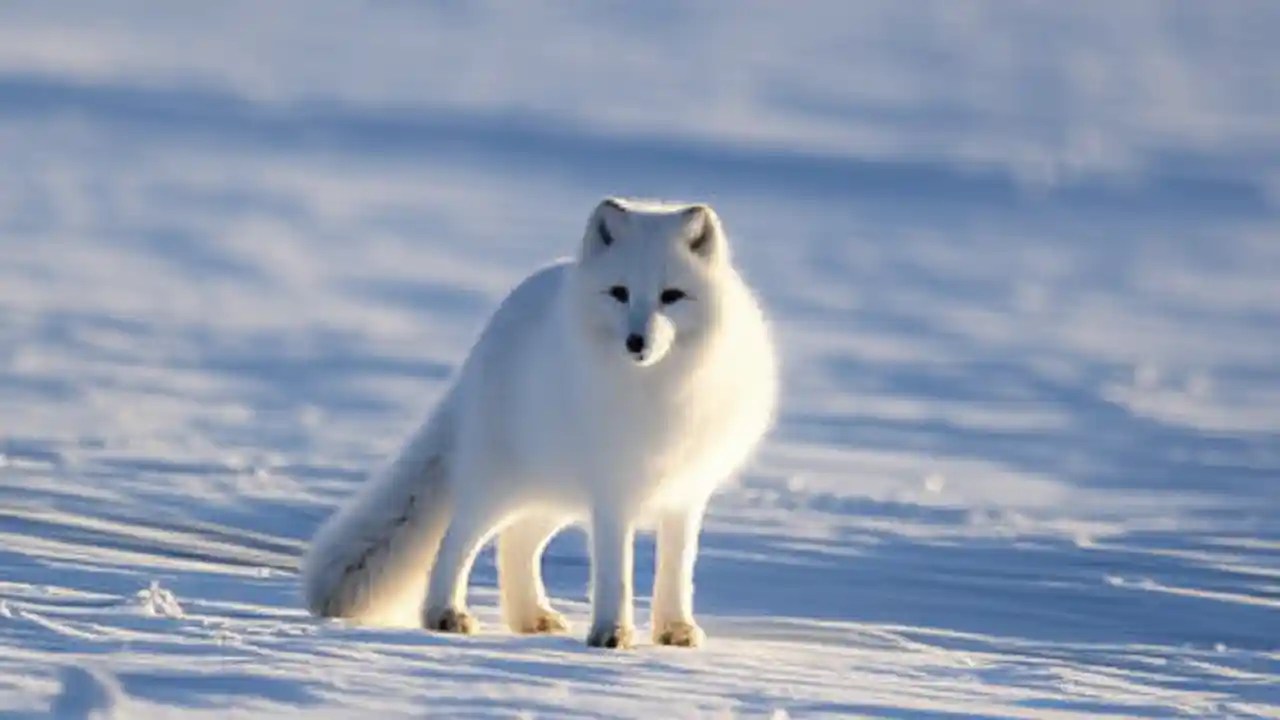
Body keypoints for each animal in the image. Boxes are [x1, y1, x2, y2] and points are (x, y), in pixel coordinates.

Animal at [301, 198, 777, 649]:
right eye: (619, 292)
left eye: (672, 295)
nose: (636, 342)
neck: (658, 390)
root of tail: (487, 337)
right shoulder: (612, 492)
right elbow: (615, 573)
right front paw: (611, 634)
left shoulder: (686, 492)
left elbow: (677, 571)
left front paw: (675, 631)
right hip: (499, 483)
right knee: (457, 540)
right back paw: (445, 614)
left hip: (551, 492)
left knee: (516, 543)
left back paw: (530, 617)